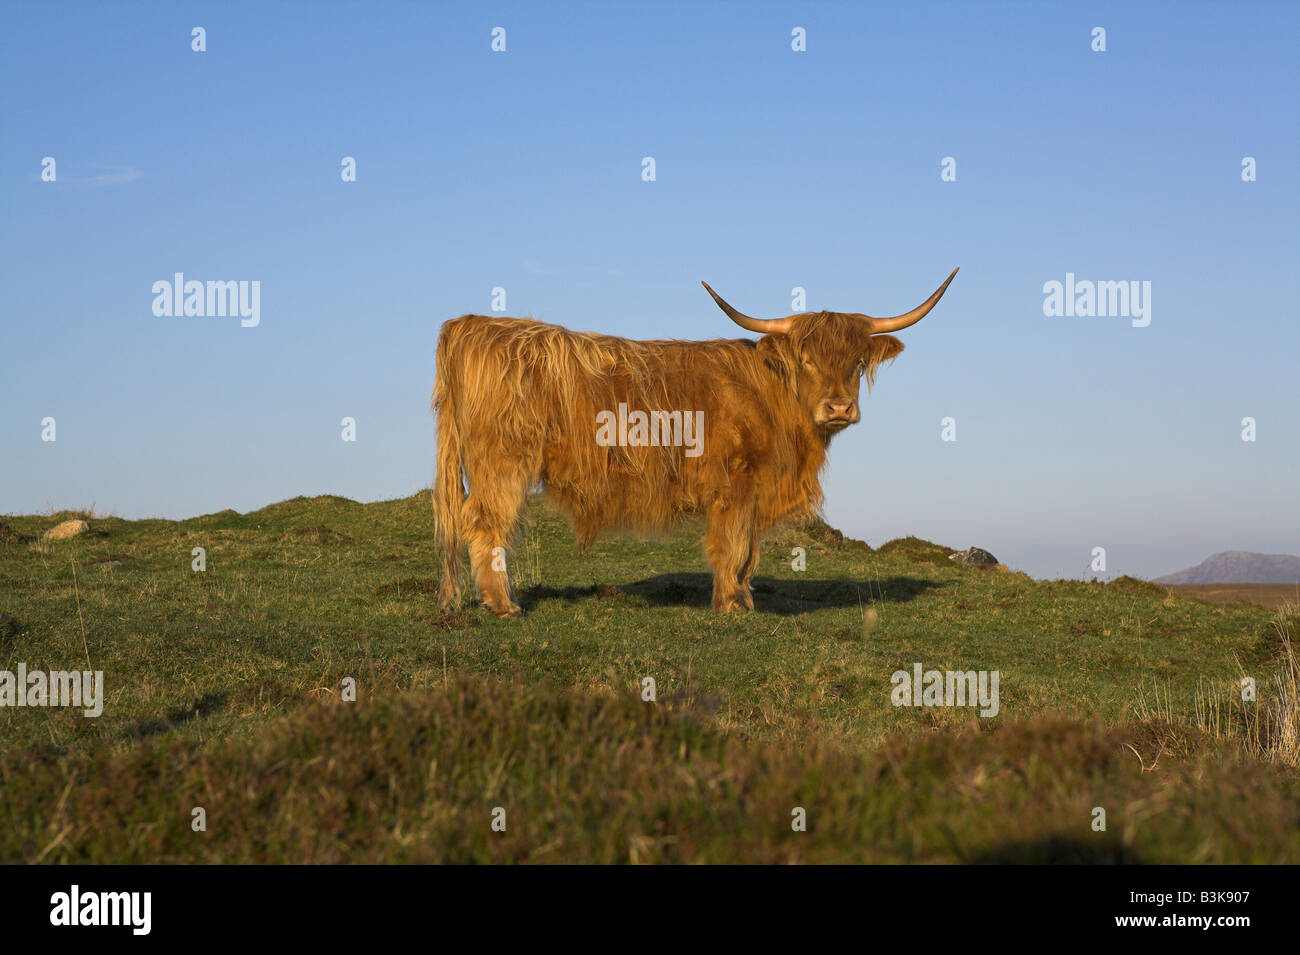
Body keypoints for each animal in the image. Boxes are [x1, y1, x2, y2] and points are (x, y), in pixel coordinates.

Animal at [432, 269, 958, 616]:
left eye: (856, 362)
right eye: (806, 360)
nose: (838, 407)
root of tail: (474, 324)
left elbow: (750, 552)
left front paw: (743, 598)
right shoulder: (735, 484)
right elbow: (732, 546)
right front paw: (730, 605)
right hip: (503, 461)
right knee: (485, 522)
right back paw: (504, 605)